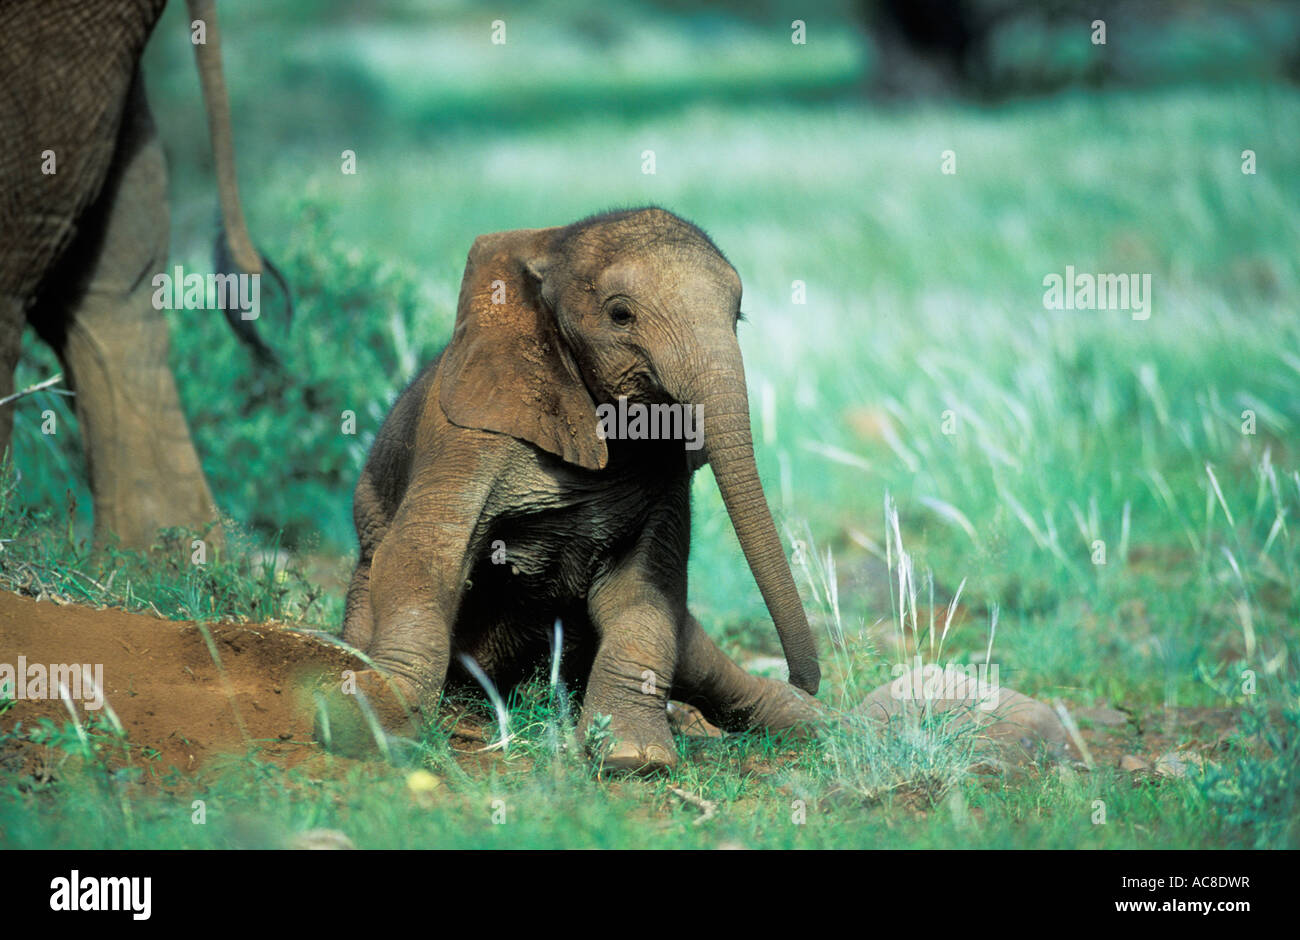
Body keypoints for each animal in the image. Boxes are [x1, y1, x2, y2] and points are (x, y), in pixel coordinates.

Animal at [332, 207, 825, 772]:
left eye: (738, 318)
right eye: (620, 315)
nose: (805, 677)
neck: (547, 247)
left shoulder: (667, 470)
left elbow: (643, 589)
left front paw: (634, 760)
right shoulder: (464, 432)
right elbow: (422, 555)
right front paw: (380, 716)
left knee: (696, 654)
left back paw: (815, 723)